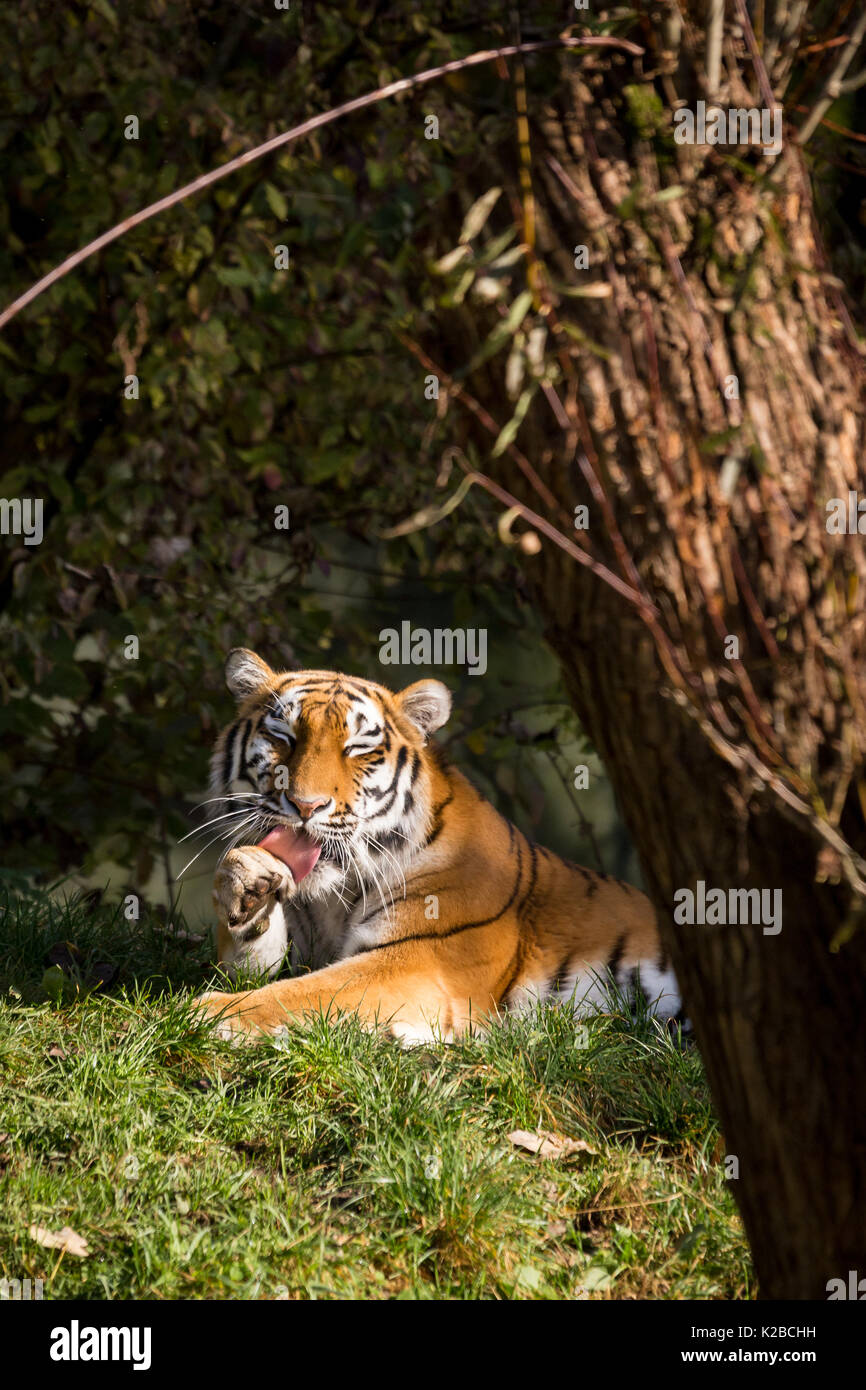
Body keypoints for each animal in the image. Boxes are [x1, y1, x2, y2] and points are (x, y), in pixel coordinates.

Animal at [193, 647, 682, 1043]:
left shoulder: (420, 959)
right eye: (283, 737)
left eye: (358, 749)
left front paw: (205, 1014)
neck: (333, 895)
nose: (305, 805)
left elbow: (296, 994)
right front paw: (247, 880)